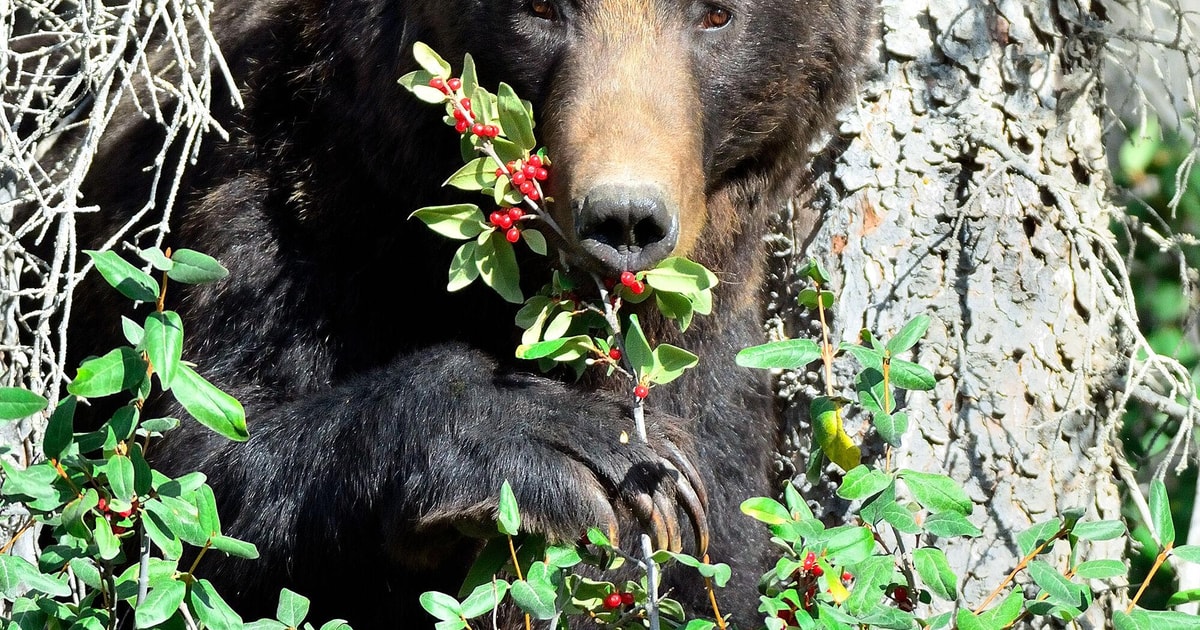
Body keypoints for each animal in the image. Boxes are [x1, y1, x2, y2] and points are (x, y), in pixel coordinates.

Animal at [62, 0, 877, 626]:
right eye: (541, 8)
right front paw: (563, 442)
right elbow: (197, 473)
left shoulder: (721, 373)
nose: (623, 219)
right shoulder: (263, 224)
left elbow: (720, 557)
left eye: (717, 16)